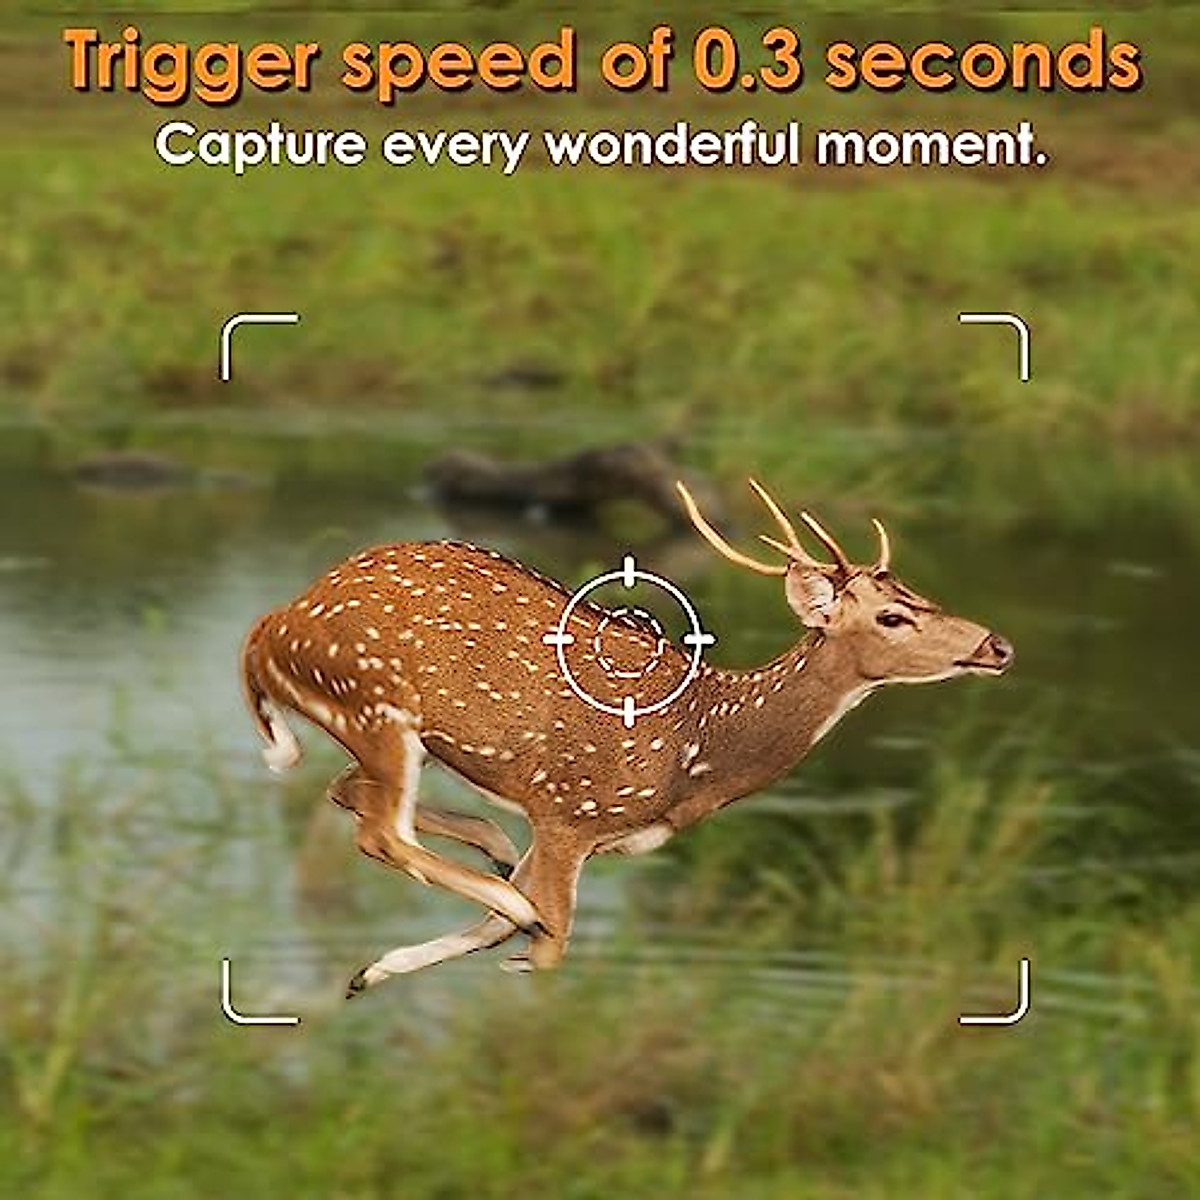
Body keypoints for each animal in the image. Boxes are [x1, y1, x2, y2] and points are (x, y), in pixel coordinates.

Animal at [240, 480, 1012, 997]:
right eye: (891, 616)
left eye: (917, 593)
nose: (997, 645)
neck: (700, 755)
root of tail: (270, 629)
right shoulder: (570, 808)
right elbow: (551, 934)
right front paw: (520, 937)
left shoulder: (573, 827)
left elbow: (514, 924)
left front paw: (375, 969)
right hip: (376, 708)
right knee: (379, 831)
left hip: (382, 734)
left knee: (349, 792)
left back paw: (468, 878)